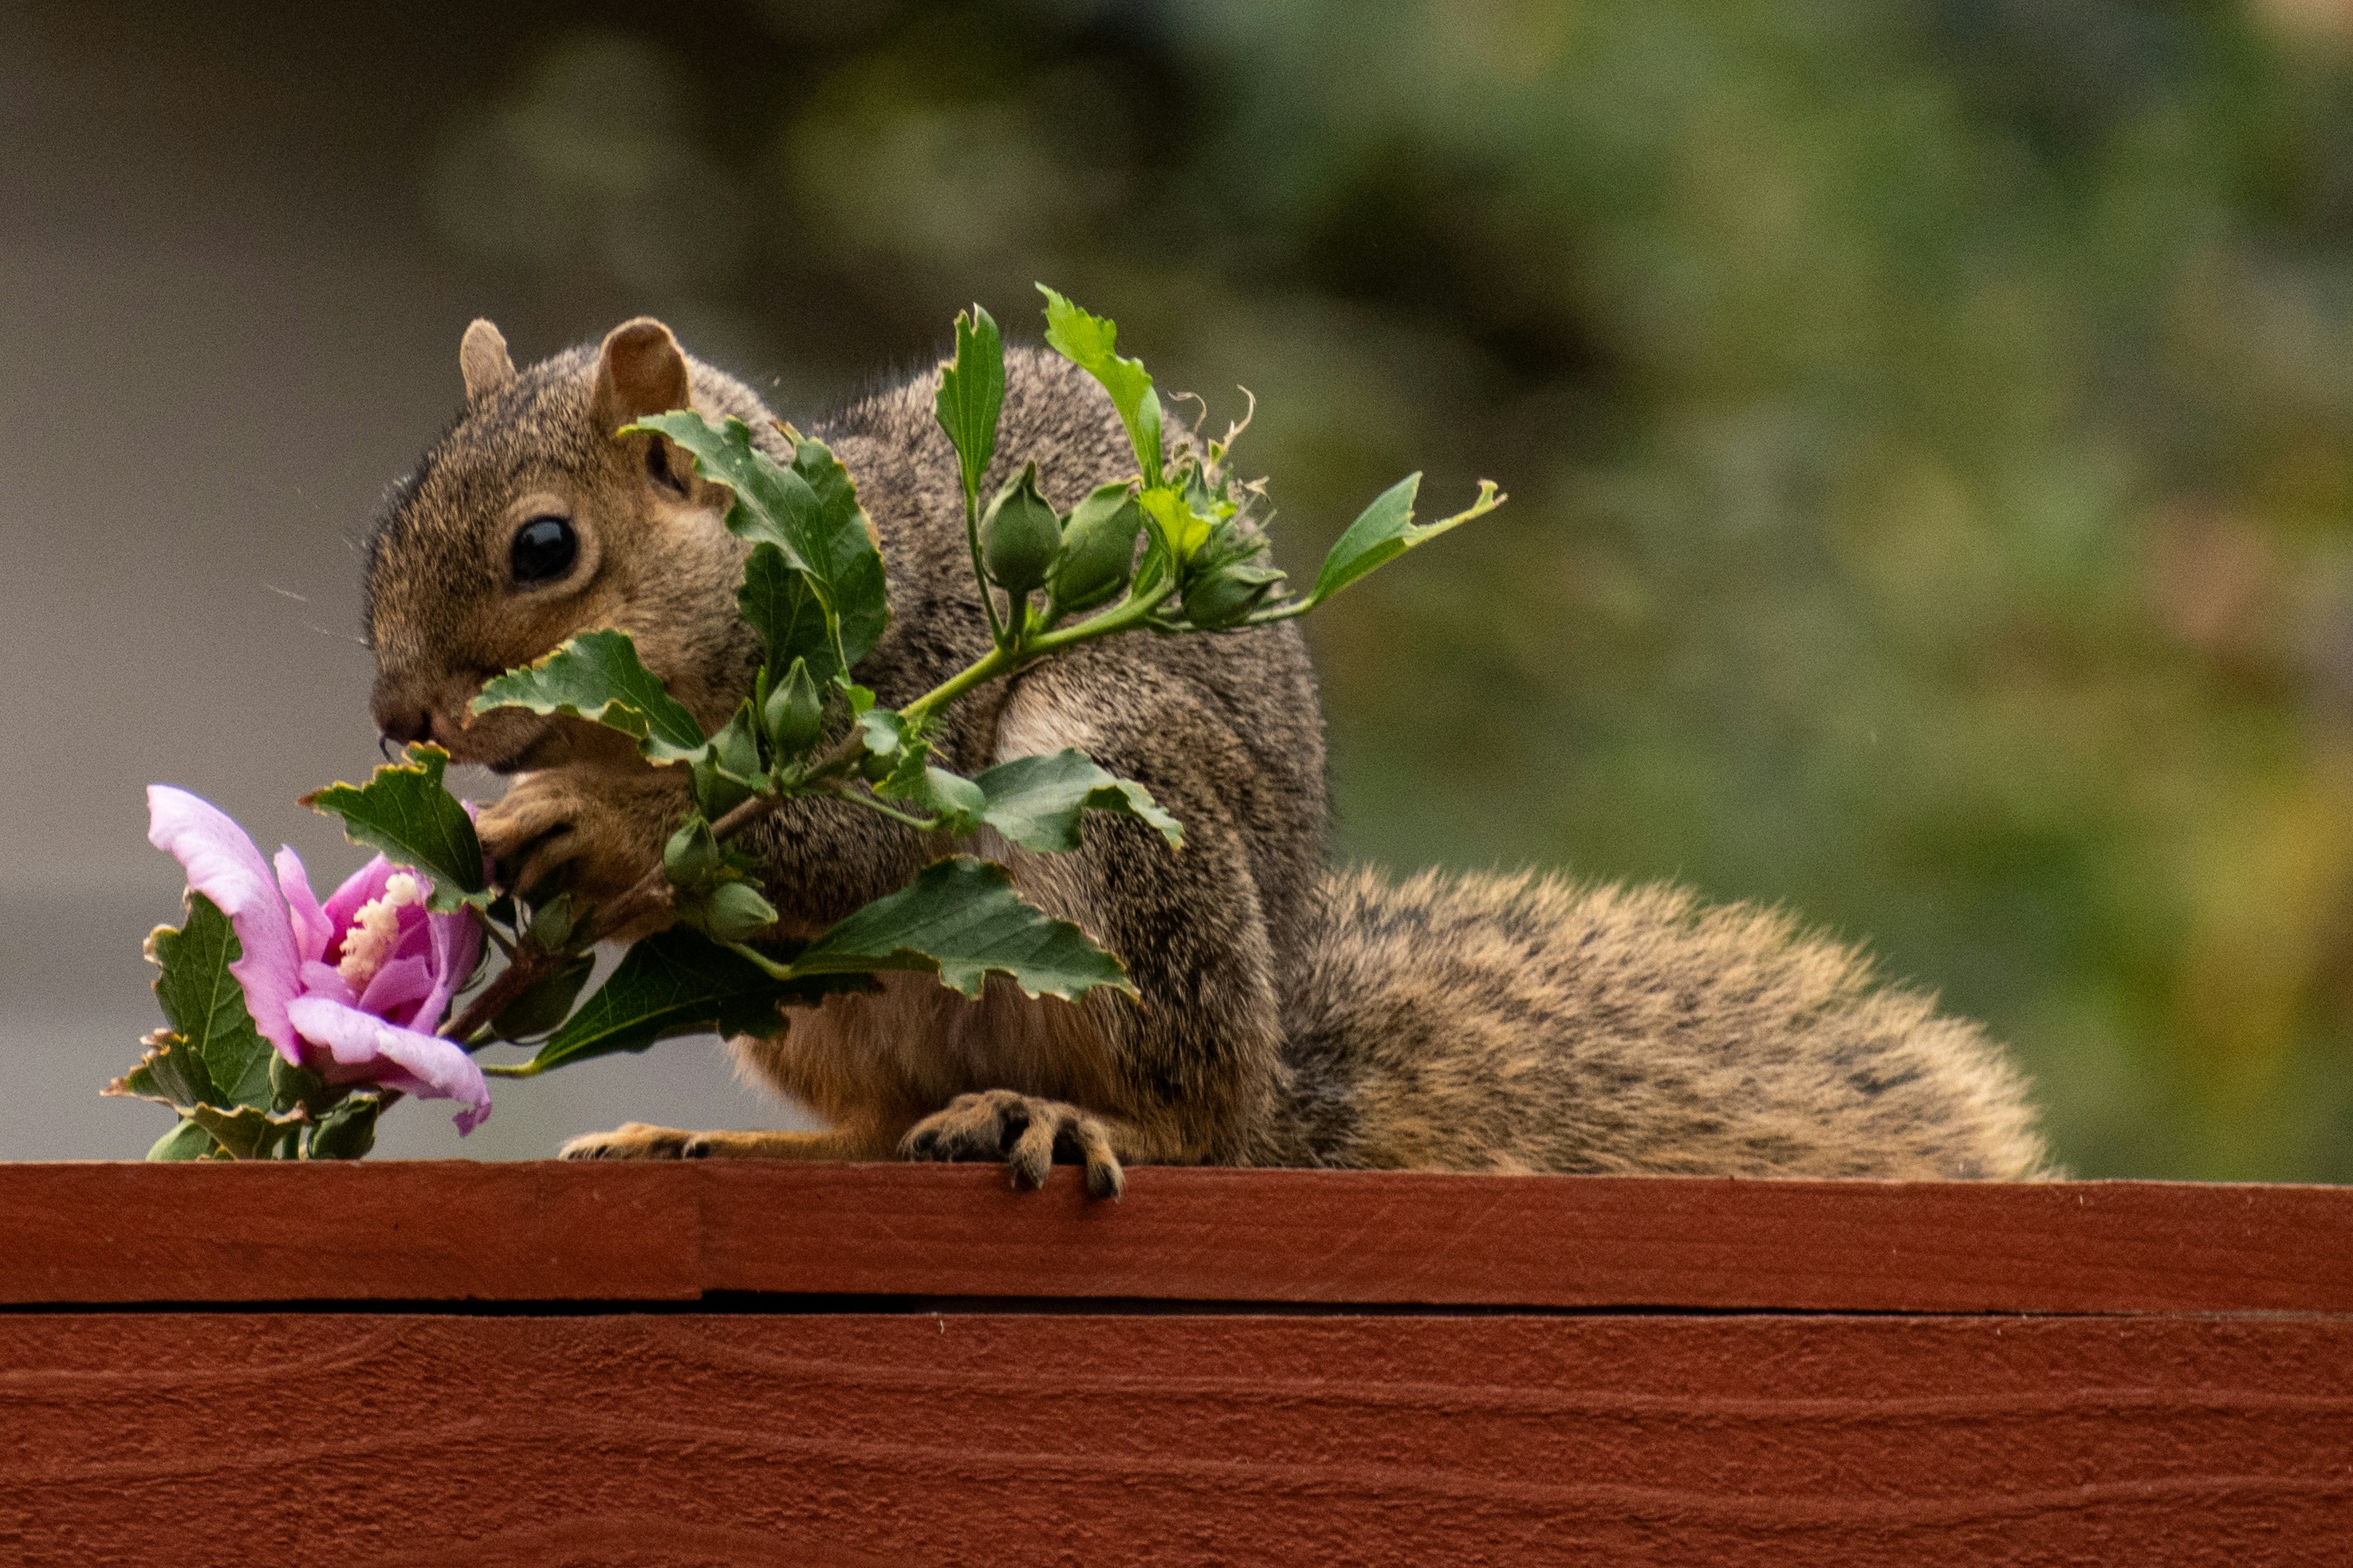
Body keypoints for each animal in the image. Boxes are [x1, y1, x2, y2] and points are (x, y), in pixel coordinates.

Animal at [362, 316, 2054, 1195]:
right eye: (382, 524)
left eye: (543, 547)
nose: (397, 722)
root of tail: (1278, 1078)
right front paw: (508, 834)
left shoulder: (911, 668)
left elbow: (854, 839)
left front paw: (592, 823)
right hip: (811, 1012)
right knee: (874, 1128)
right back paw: (713, 1136)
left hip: (1116, 791)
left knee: (1190, 1126)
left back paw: (1068, 1119)